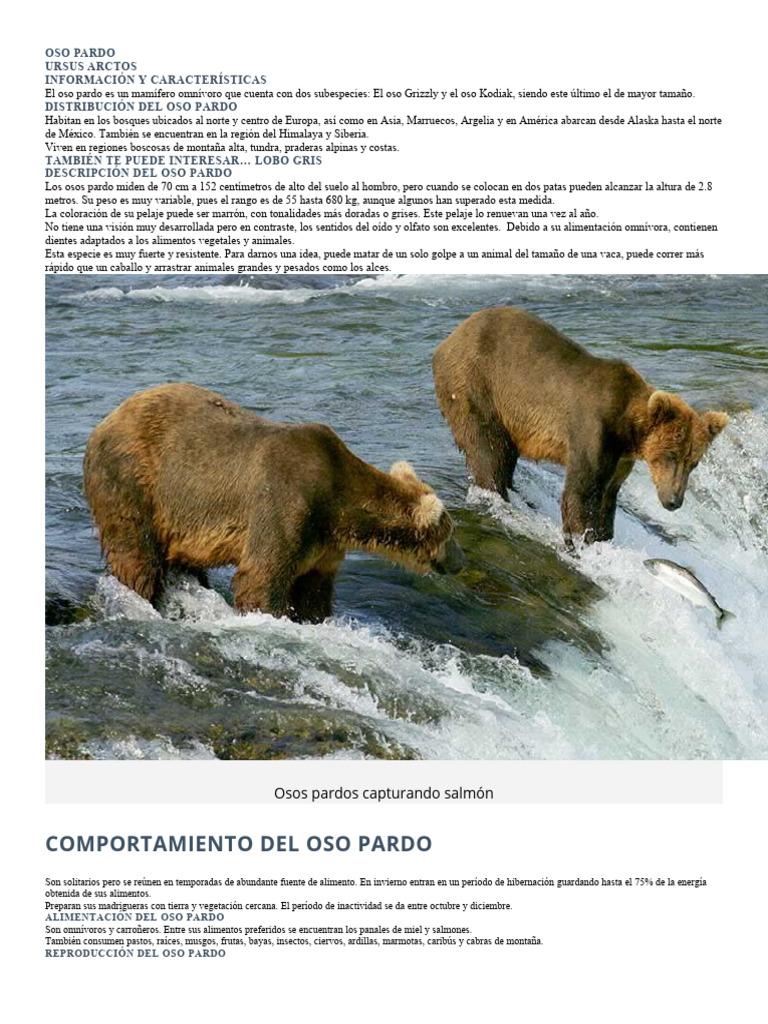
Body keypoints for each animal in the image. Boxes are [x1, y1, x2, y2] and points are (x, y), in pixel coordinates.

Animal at [83, 383, 463, 623]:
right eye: (450, 533)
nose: (461, 561)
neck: (337, 503)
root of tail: (103, 422)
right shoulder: (285, 502)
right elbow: (261, 577)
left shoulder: (322, 545)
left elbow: (313, 590)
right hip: (133, 480)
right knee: (137, 555)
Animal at [432, 307, 729, 545]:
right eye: (669, 456)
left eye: (693, 462)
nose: (673, 501)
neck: (628, 430)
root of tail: (448, 339)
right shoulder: (593, 431)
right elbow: (581, 493)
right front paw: (585, 541)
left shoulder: (620, 458)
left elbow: (607, 497)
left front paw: (604, 536)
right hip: (477, 385)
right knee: (488, 450)